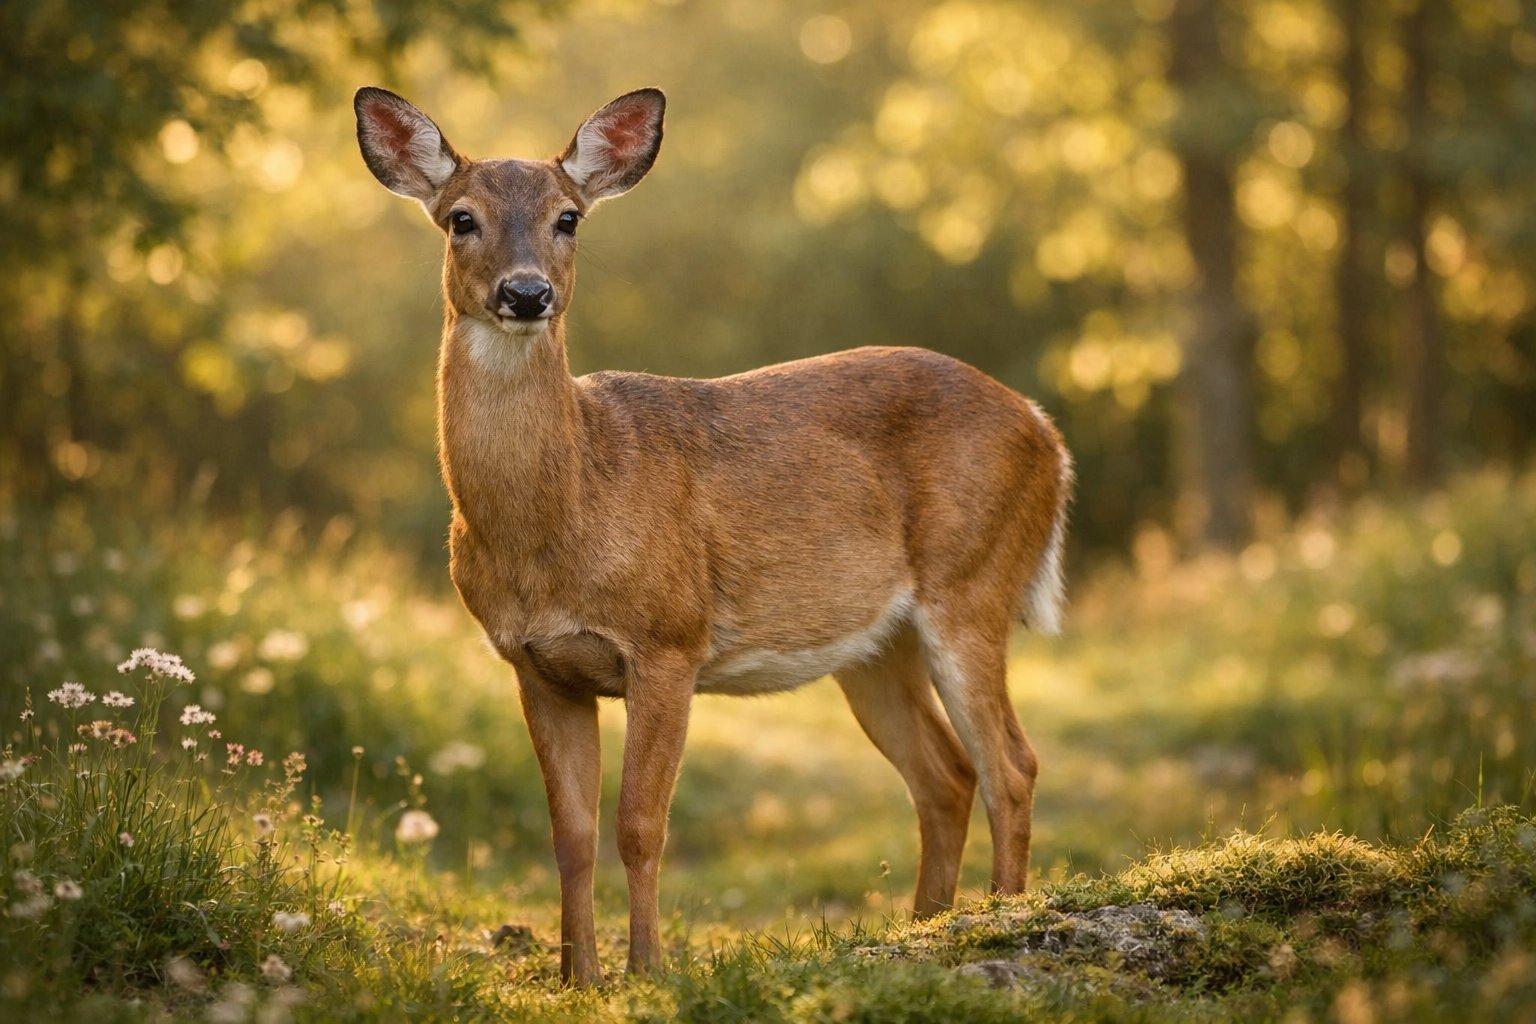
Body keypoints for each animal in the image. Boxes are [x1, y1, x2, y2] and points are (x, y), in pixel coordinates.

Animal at [353, 85, 1073, 986]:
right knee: (947, 773)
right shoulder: (535, 664)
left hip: (972, 581)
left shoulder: (670, 637)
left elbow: (638, 824)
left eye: (567, 218)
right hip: (876, 645)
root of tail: (1046, 432)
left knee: (1013, 763)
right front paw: (578, 977)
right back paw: (921, 930)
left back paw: (1001, 917)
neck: (570, 510)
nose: (525, 294)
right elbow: (570, 833)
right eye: (460, 218)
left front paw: (647, 969)